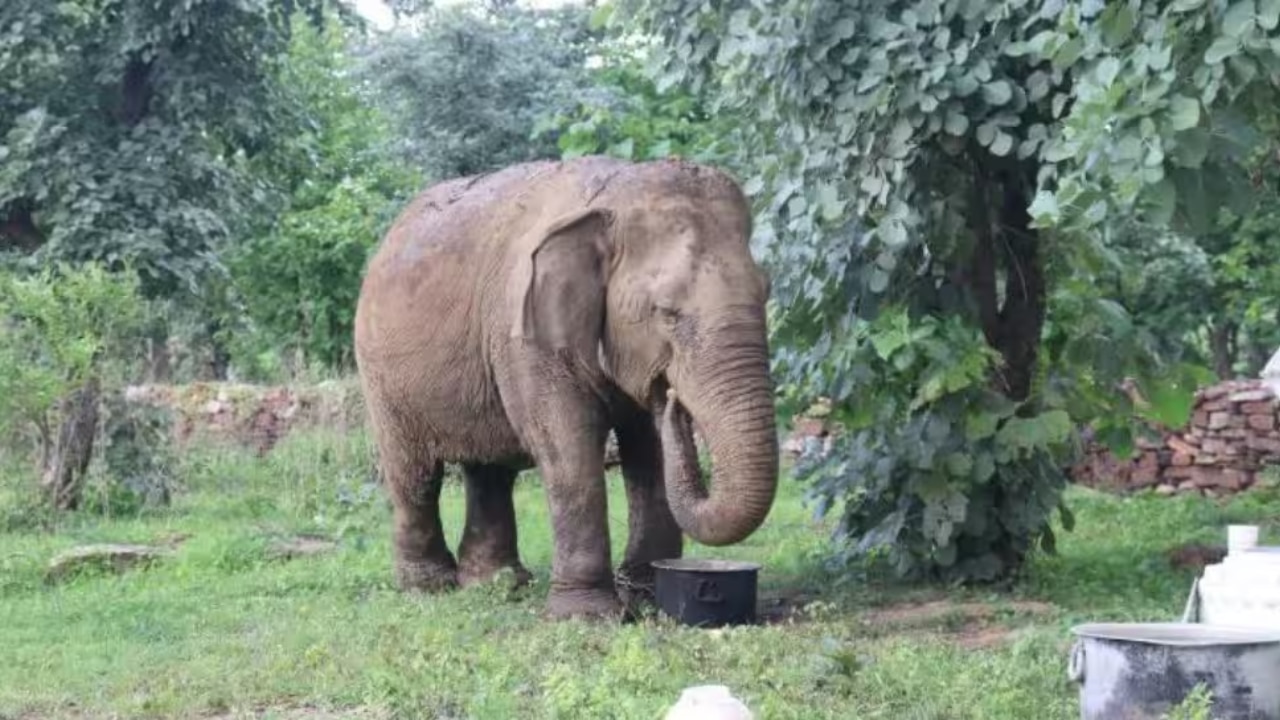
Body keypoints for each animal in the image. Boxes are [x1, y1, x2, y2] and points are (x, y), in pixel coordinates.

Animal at [353, 155, 779, 620]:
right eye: (666, 312)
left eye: (766, 293)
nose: (673, 399)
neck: (613, 198)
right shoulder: (526, 334)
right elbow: (567, 445)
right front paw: (587, 616)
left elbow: (647, 451)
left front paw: (647, 595)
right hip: (381, 376)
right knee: (414, 472)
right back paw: (429, 586)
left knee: (489, 468)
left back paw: (499, 583)